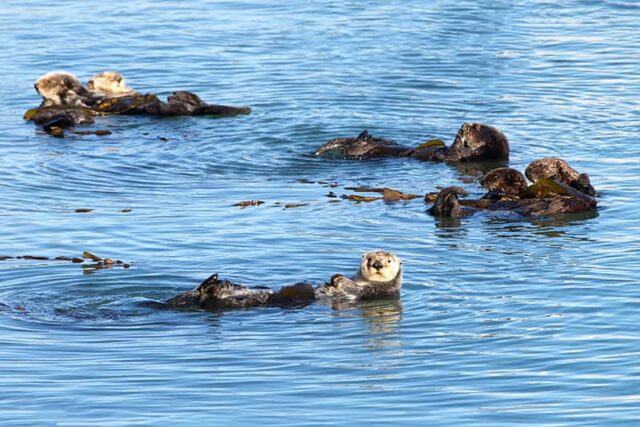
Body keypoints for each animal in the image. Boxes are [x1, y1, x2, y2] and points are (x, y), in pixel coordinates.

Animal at [165, 251, 402, 311]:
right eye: (370, 258)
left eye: (388, 260)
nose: (377, 264)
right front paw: (334, 277)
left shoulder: (376, 292)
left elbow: (352, 289)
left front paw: (336, 278)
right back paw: (218, 281)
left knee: (208, 300)